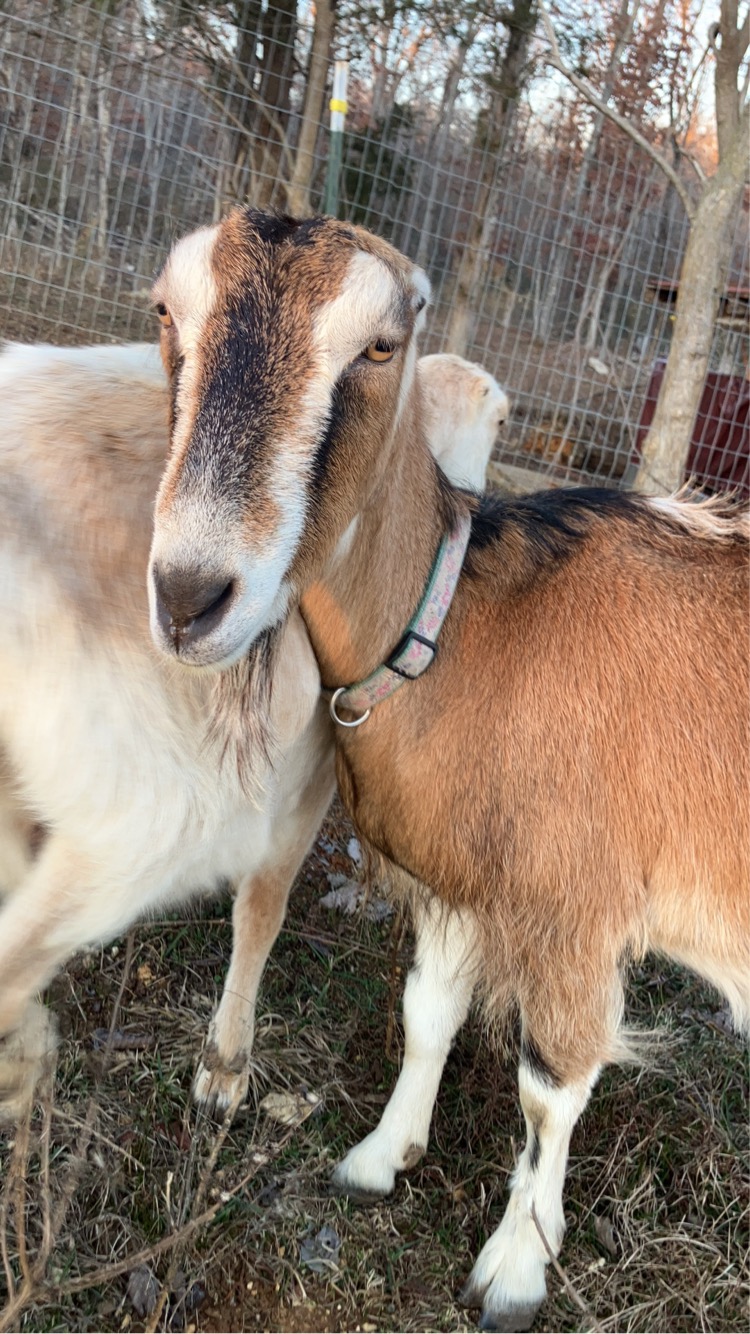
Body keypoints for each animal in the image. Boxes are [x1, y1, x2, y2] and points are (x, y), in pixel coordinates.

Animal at [146, 208, 749, 1333]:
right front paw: (380, 1158)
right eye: (166, 311)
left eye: (382, 346)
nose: (191, 594)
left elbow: (550, 1086)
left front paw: (514, 1264)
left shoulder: (577, 912)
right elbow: (427, 1015)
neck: (467, 625)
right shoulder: (463, 882)